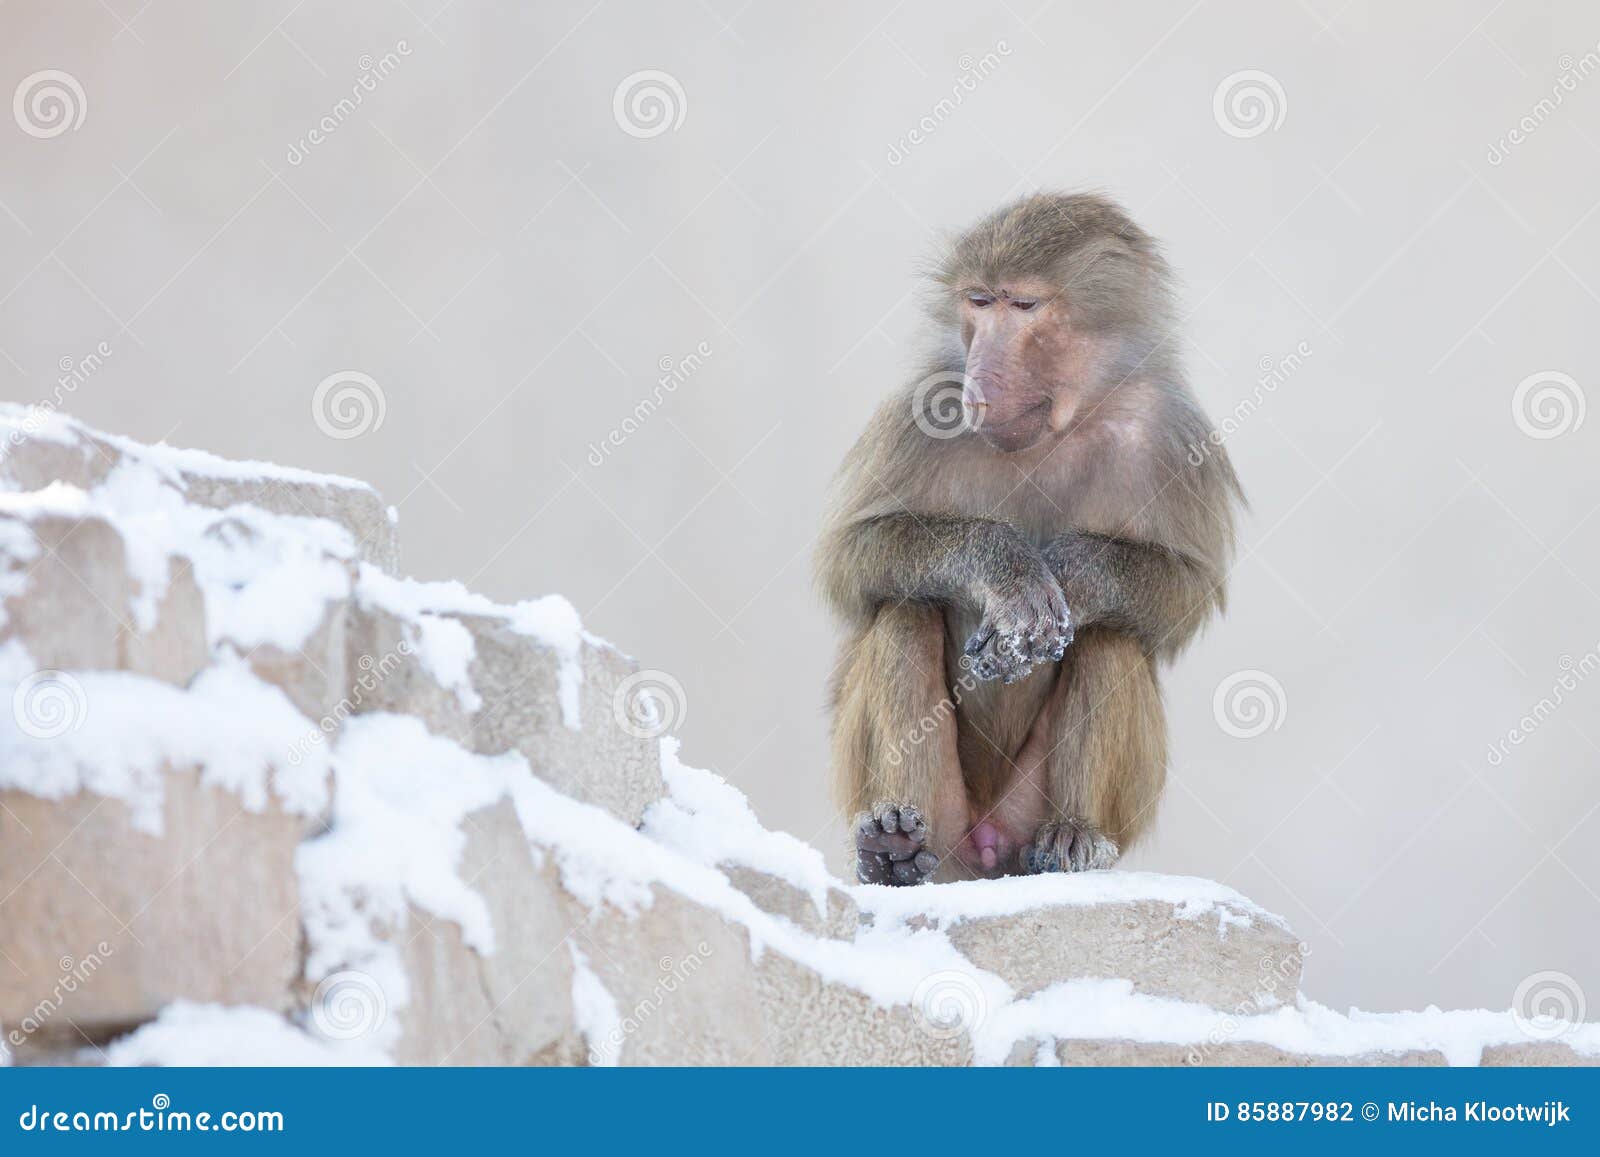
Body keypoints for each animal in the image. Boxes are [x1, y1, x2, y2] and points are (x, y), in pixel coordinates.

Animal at [816, 192, 1243, 886]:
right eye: (977, 301)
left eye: (1023, 306)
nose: (982, 376)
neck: (1059, 422)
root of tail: (986, 856)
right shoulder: (918, 408)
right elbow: (850, 561)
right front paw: (1009, 573)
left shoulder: (1173, 434)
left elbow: (1185, 594)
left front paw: (1068, 574)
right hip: (944, 817)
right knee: (905, 609)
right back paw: (894, 849)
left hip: (1027, 815)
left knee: (1111, 635)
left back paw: (1074, 838)